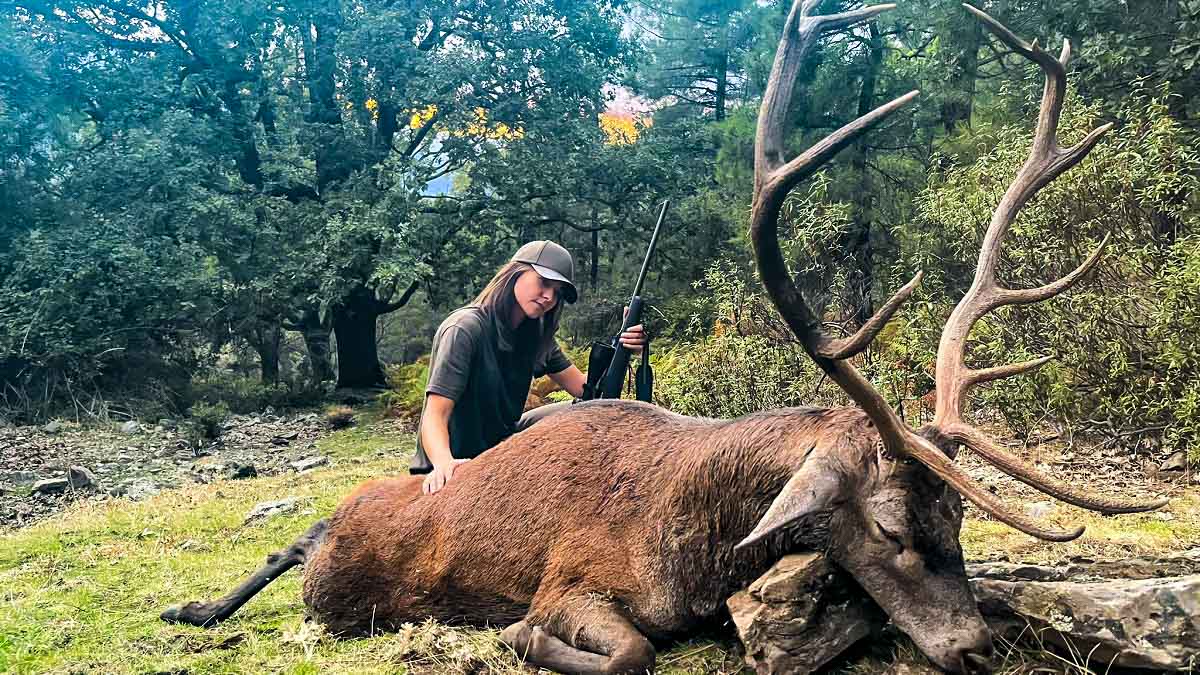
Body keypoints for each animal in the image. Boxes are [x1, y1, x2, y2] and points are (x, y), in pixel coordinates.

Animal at [160, 3, 1167, 674]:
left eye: (958, 517)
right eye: (888, 525)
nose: (975, 647)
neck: (695, 541)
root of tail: (337, 520)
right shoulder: (575, 578)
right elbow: (627, 651)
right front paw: (513, 633)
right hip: (333, 587)